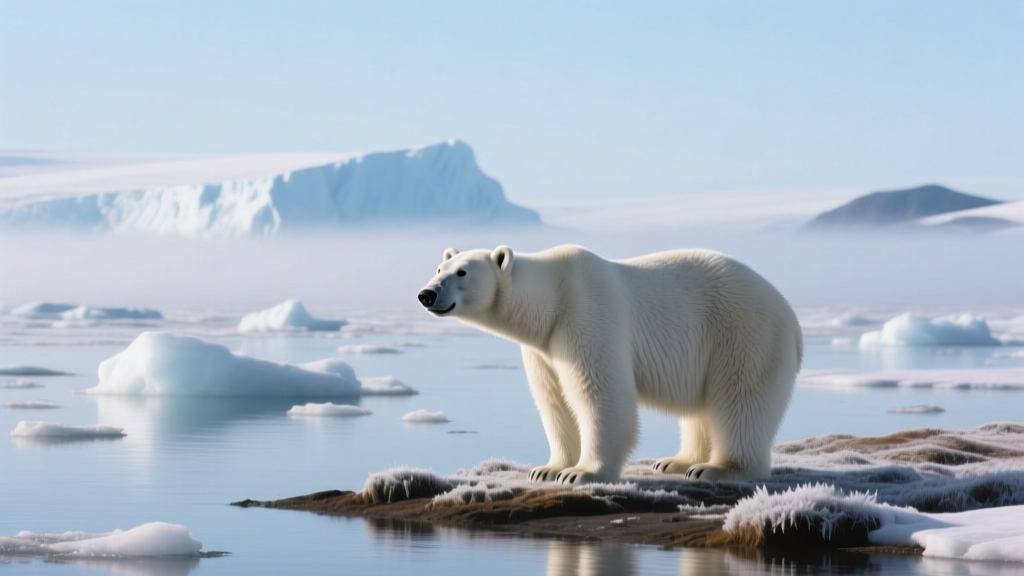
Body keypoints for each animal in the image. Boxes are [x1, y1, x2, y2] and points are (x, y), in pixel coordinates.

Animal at [417, 244, 802, 485]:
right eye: (439, 268)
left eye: (462, 272)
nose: (426, 294)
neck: (551, 296)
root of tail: (793, 318)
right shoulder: (544, 348)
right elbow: (553, 401)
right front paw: (548, 469)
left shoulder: (586, 313)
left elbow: (599, 392)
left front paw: (582, 473)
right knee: (700, 408)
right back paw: (675, 461)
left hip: (743, 333)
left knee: (739, 398)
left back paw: (717, 468)